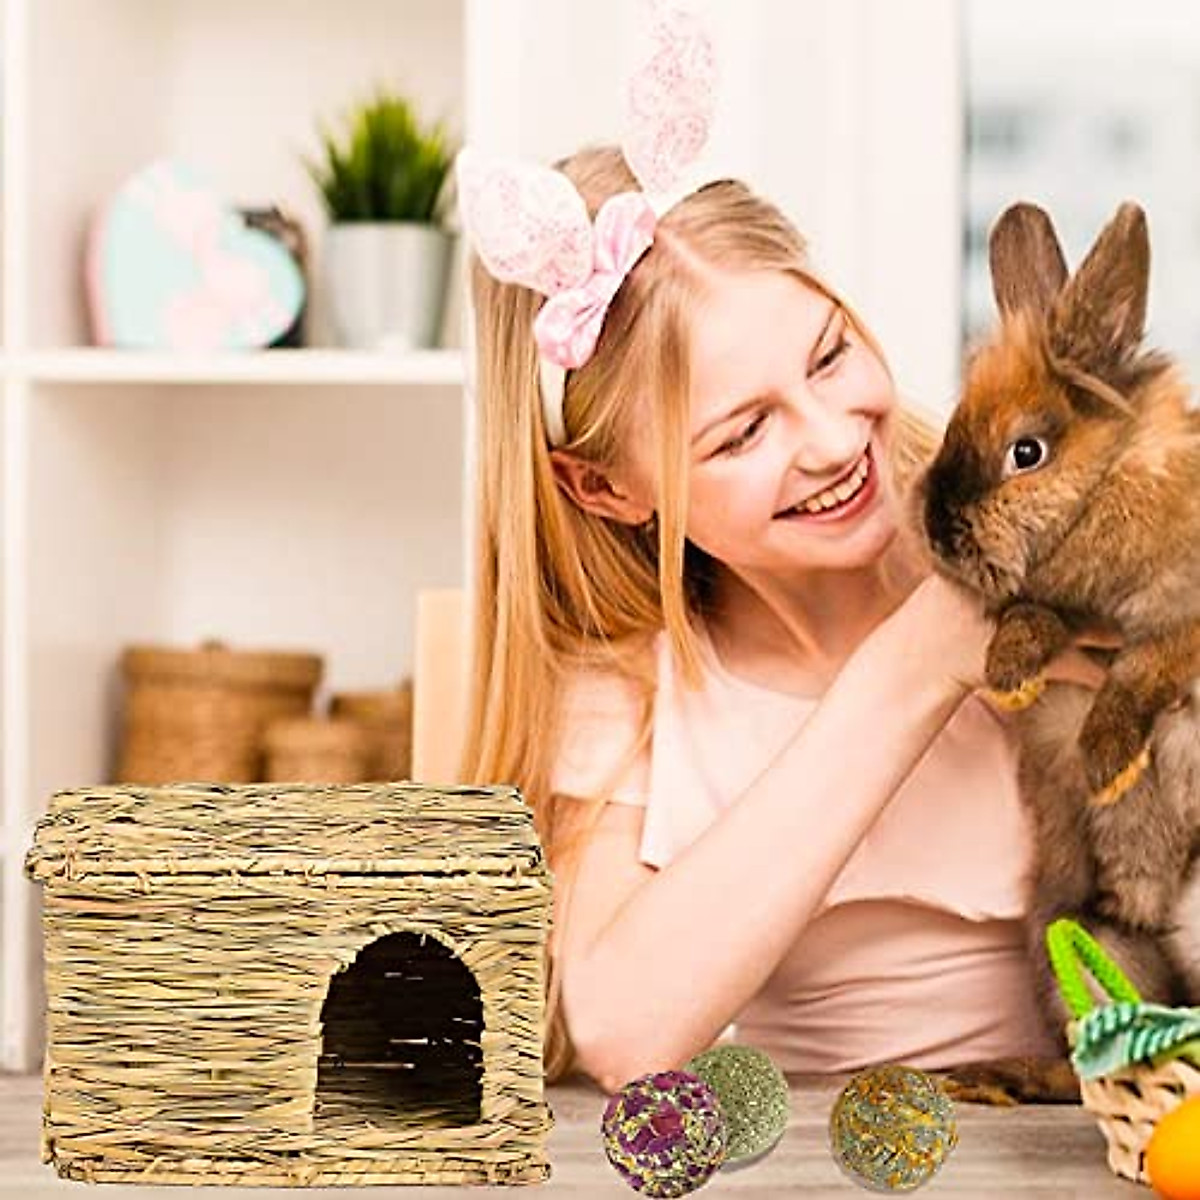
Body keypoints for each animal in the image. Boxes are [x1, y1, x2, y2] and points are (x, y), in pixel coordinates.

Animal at [911, 200, 1200, 1104]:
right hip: (1072, 937)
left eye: (1026, 452)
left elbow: (1139, 671)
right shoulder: (1056, 607)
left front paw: (1108, 762)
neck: (1106, 487)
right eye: (954, 426)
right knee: (1096, 1058)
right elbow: (1032, 617)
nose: (937, 527)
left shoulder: (1182, 627)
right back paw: (993, 1077)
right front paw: (1006, 676)